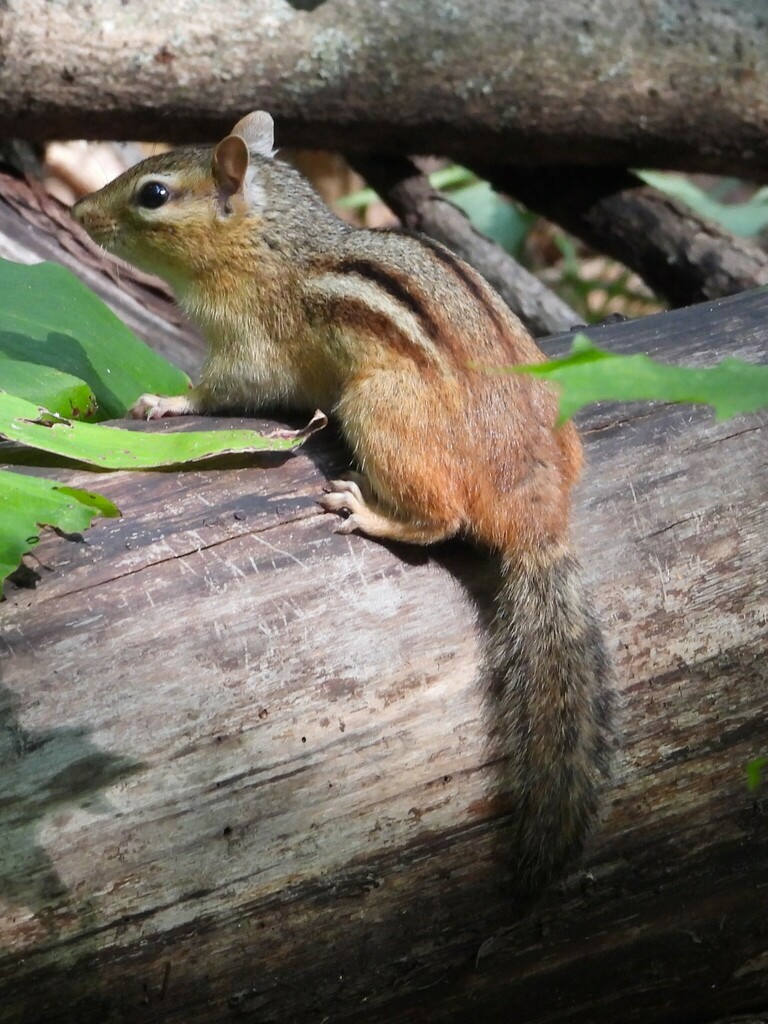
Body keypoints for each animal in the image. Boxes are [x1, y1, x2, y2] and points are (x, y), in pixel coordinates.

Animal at [72, 111, 614, 891]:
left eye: (154, 193)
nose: (79, 212)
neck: (273, 241)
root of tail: (537, 517)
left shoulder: (250, 344)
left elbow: (224, 389)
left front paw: (164, 401)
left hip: (375, 410)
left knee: (443, 520)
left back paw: (368, 511)